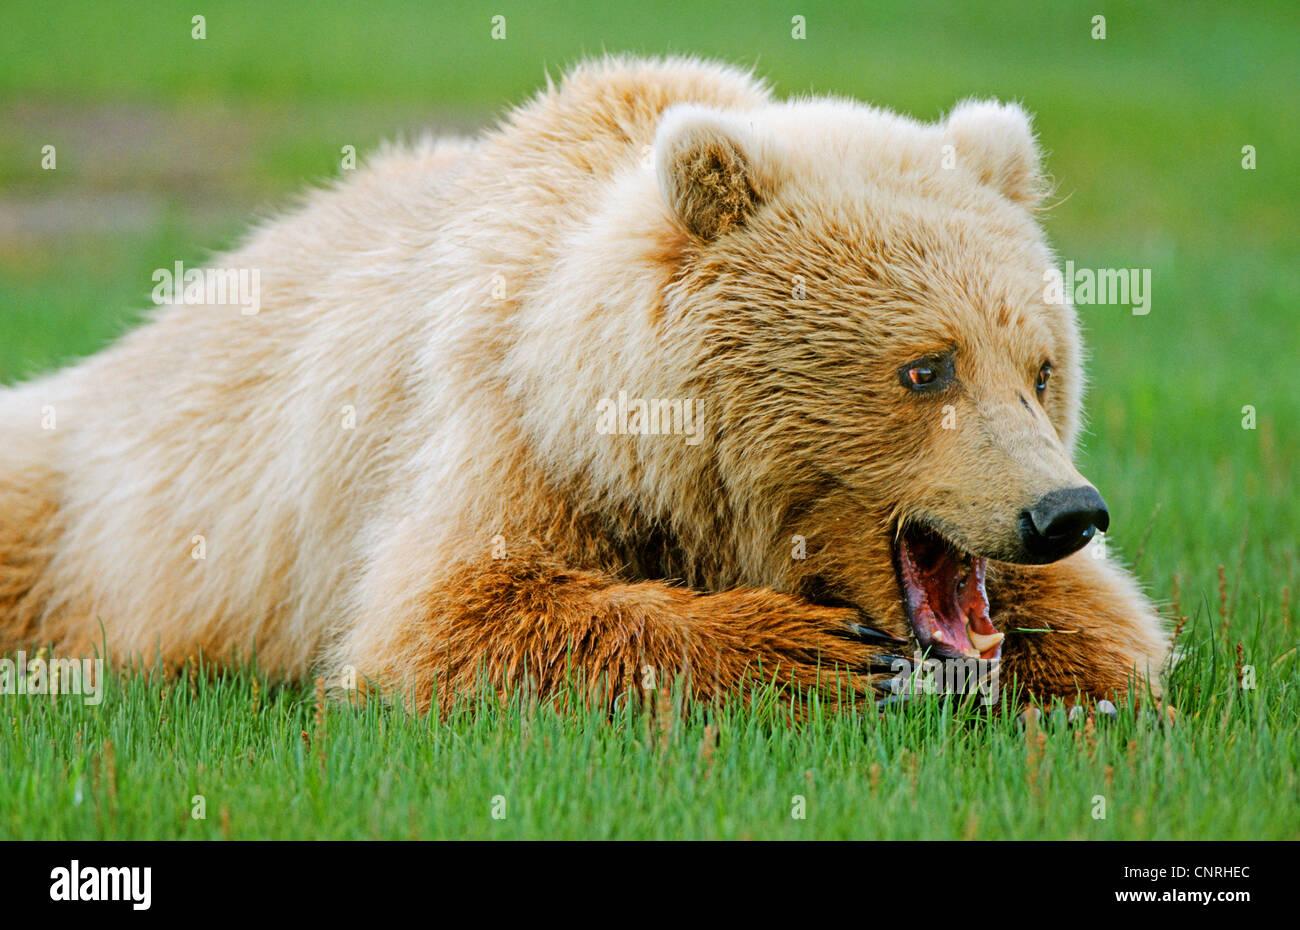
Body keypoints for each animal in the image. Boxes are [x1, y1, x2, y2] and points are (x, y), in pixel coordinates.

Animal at [0, 55, 1169, 714]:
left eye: (1041, 370)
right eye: (926, 368)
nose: (1064, 510)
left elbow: (1116, 630)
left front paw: (1064, 680)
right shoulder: (506, 431)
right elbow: (446, 619)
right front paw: (816, 657)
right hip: (85, 500)